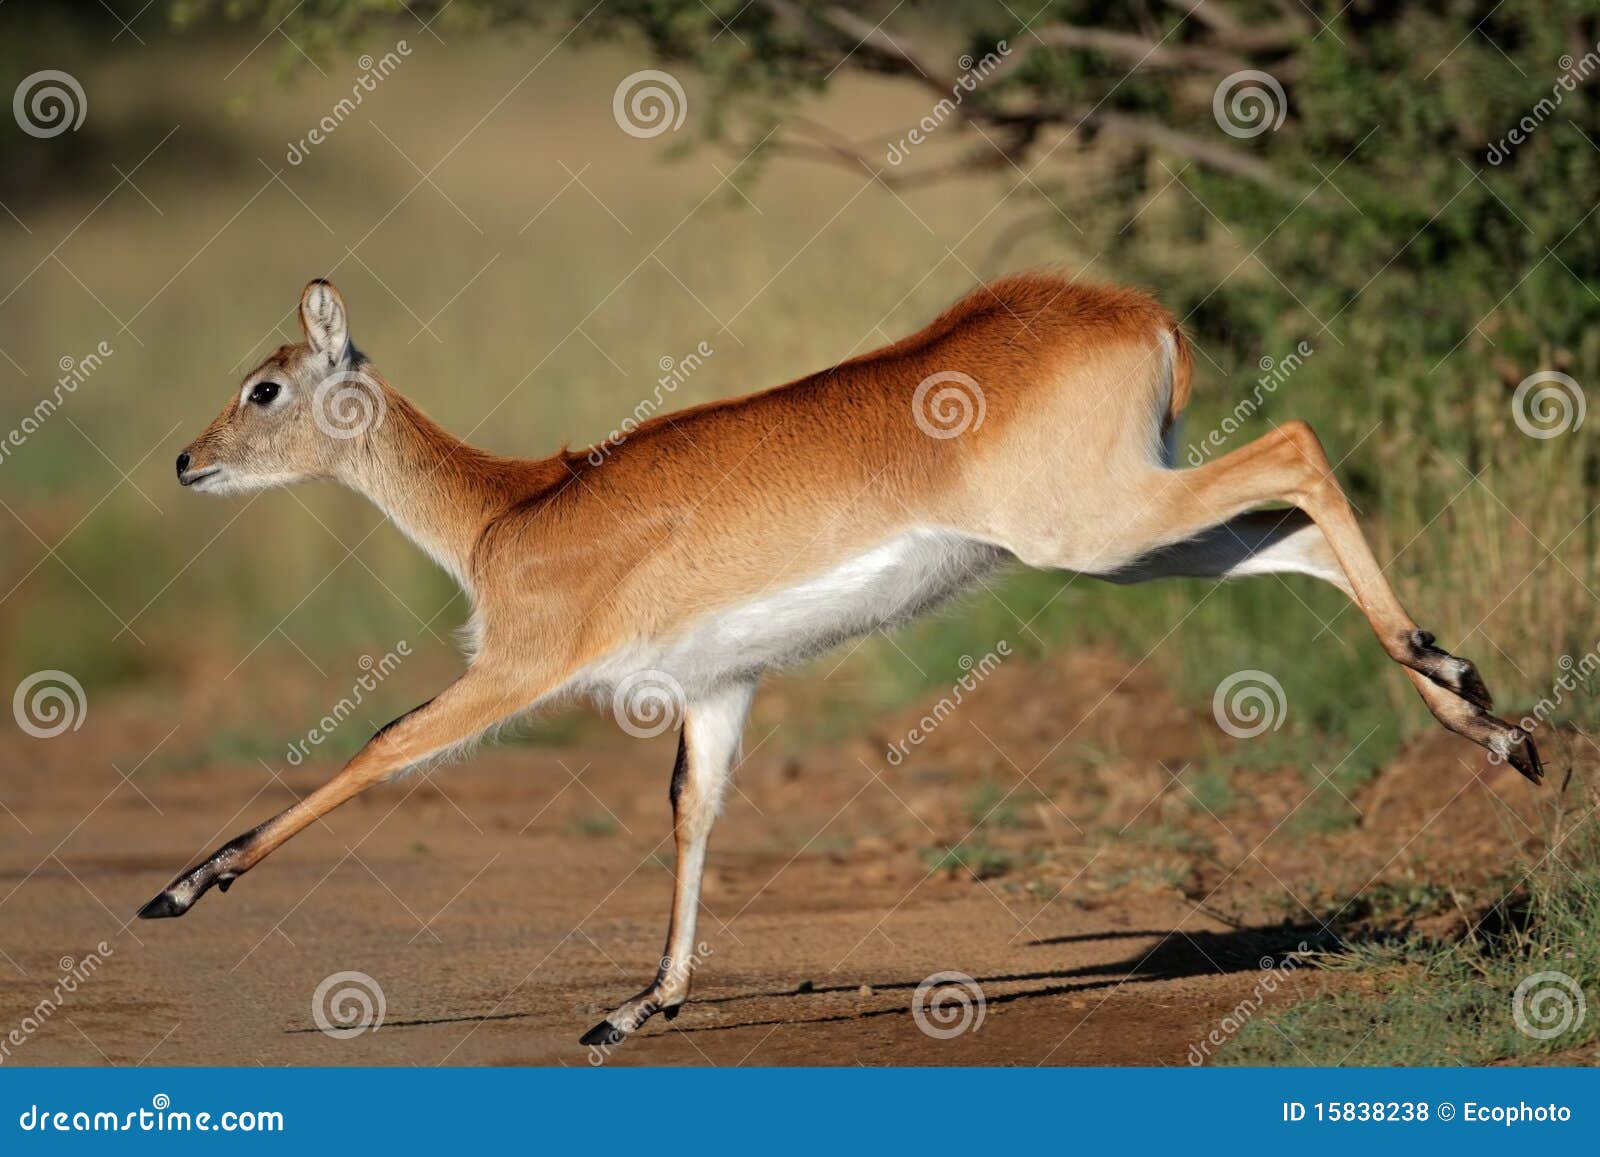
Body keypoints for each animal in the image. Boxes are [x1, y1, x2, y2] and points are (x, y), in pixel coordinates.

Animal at [143, 275, 1541, 1047]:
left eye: (265, 386)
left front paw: (184, 886)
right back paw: (1485, 708)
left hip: (1100, 523)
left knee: (1298, 448)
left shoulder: (517, 669)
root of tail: (1133, 310)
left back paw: (1483, 706)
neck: (506, 512)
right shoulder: (714, 692)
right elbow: (691, 813)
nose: (185, 462)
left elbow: (378, 746)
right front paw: (638, 1006)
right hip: (1128, 538)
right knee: (1291, 531)